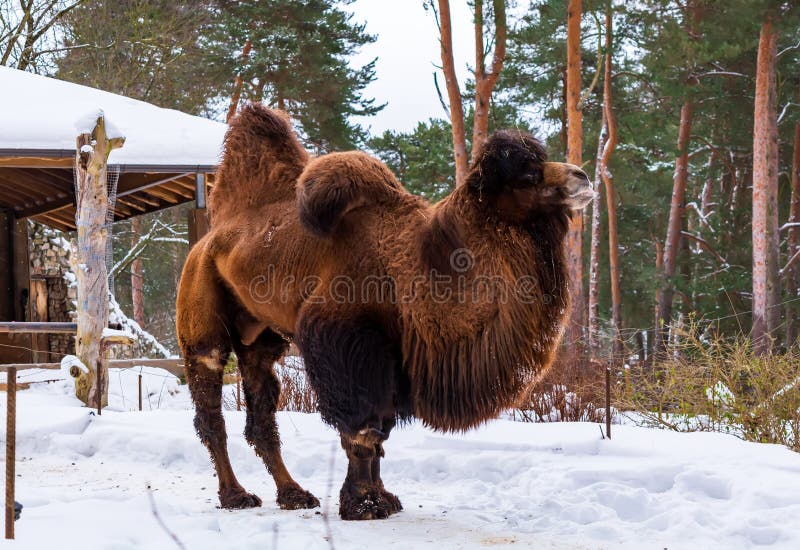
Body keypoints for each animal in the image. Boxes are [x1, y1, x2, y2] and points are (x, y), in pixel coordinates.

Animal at [176, 103, 592, 519]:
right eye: (527, 174)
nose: (583, 176)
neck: (416, 265)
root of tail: (208, 240)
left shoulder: (394, 359)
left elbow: (382, 431)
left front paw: (382, 498)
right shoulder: (346, 343)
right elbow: (362, 430)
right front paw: (363, 503)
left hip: (260, 338)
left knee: (261, 415)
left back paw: (293, 494)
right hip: (201, 318)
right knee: (211, 411)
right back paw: (235, 496)